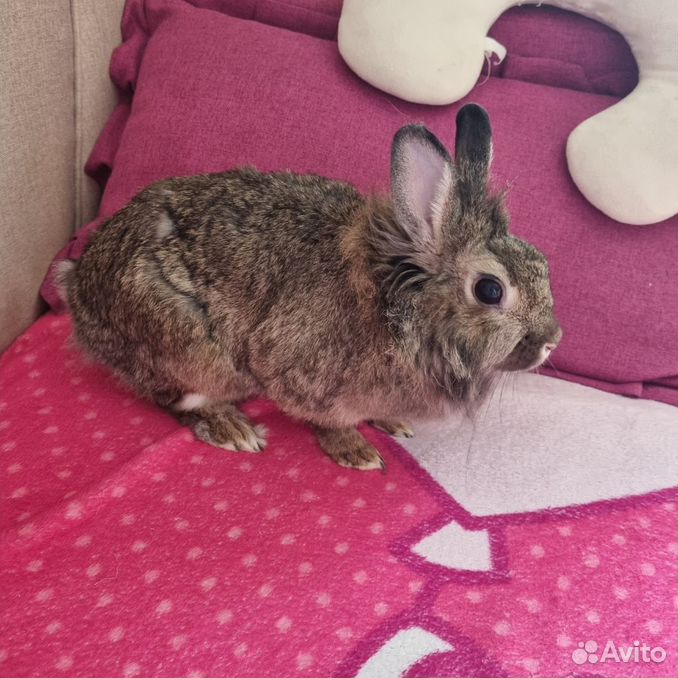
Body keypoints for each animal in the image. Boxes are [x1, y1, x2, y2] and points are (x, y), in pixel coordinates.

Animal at [59, 104, 561, 470]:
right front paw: (358, 453)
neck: (399, 306)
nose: (552, 340)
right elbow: (328, 421)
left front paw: (394, 423)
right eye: (490, 290)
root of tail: (80, 292)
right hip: (190, 348)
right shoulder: (301, 375)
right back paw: (234, 430)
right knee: (176, 398)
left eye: (540, 260)